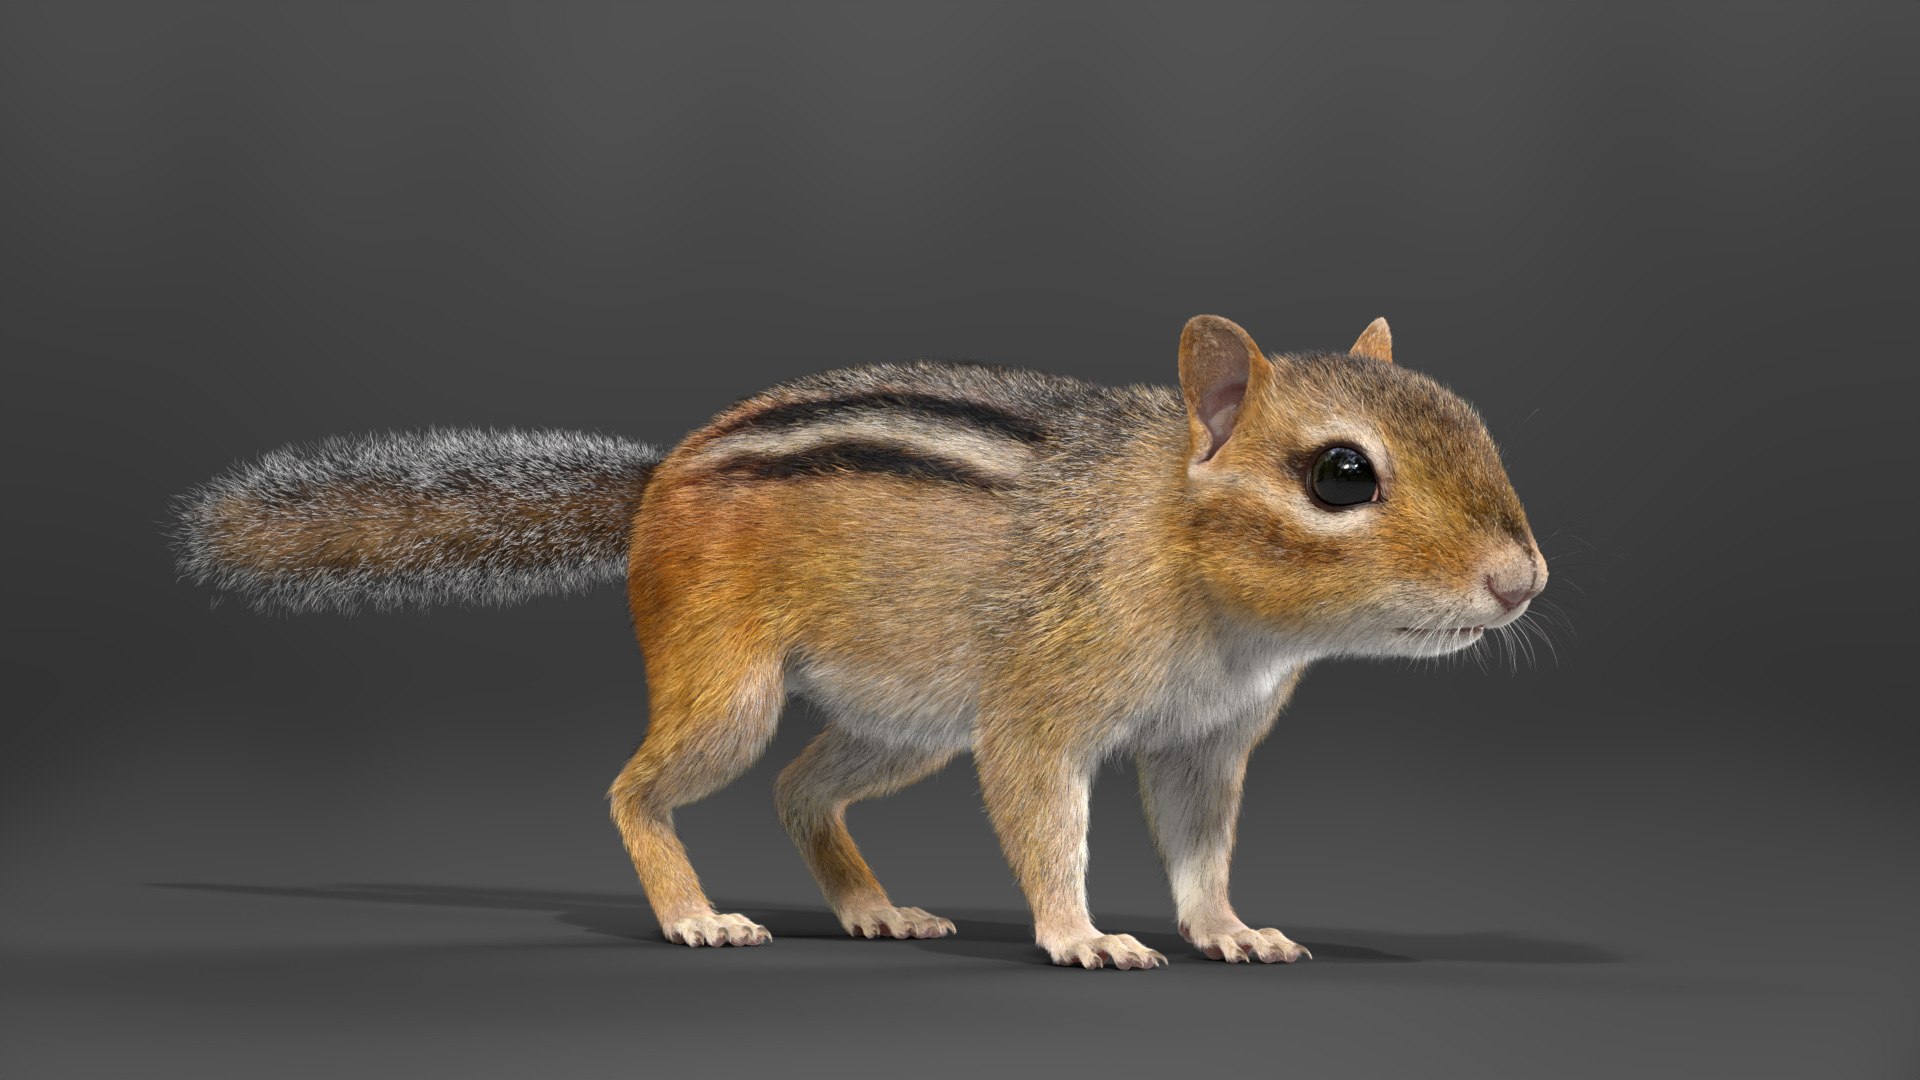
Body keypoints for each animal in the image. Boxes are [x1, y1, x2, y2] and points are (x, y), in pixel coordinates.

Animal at [172, 314, 1545, 970]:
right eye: (1341, 473)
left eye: (1476, 424)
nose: (1524, 579)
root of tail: (652, 484)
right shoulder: (1041, 708)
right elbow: (1048, 819)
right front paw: (1080, 934)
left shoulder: (1205, 743)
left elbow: (1200, 846)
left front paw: (1227, 929)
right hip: (731, 685)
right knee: (637, 788)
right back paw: (696, 916)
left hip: (906, 723)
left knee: (799, 789)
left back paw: (875, 910)